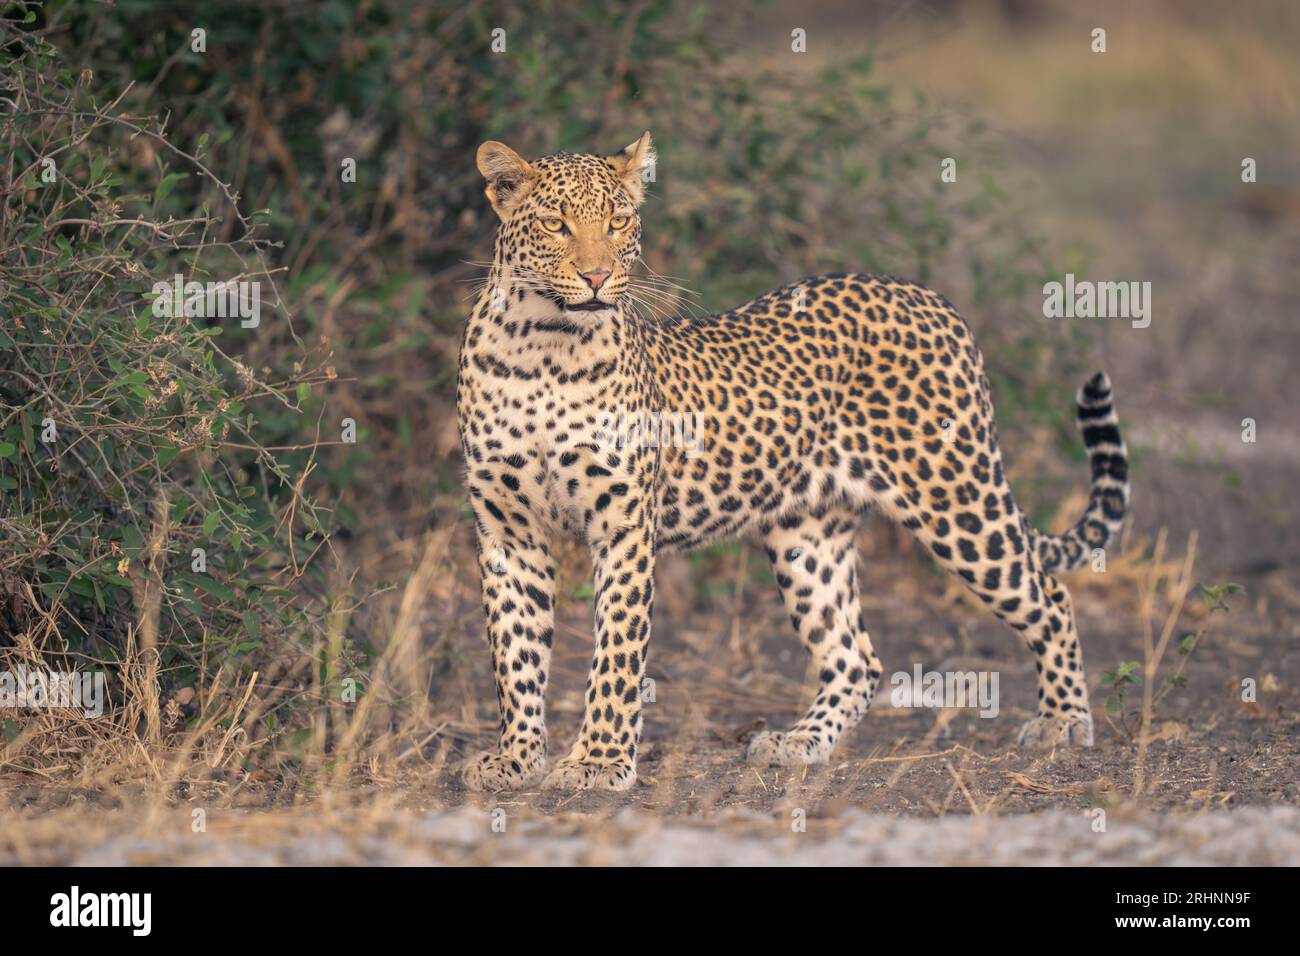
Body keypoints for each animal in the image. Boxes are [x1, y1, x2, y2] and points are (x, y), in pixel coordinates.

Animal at [455, 131, 1129, 792]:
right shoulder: (508, 532)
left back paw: (1063, 722)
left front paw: (598, 761)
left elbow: (617, 652)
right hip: (808, 534)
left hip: (956, 498)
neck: (543, 346)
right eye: (555, 224)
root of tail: (928, 296)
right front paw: (516, 758)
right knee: (856, 657)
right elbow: (514, 653)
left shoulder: (621, 527)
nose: (598, 277)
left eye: (619, 221)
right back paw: (799, 743)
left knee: (1049, 595)